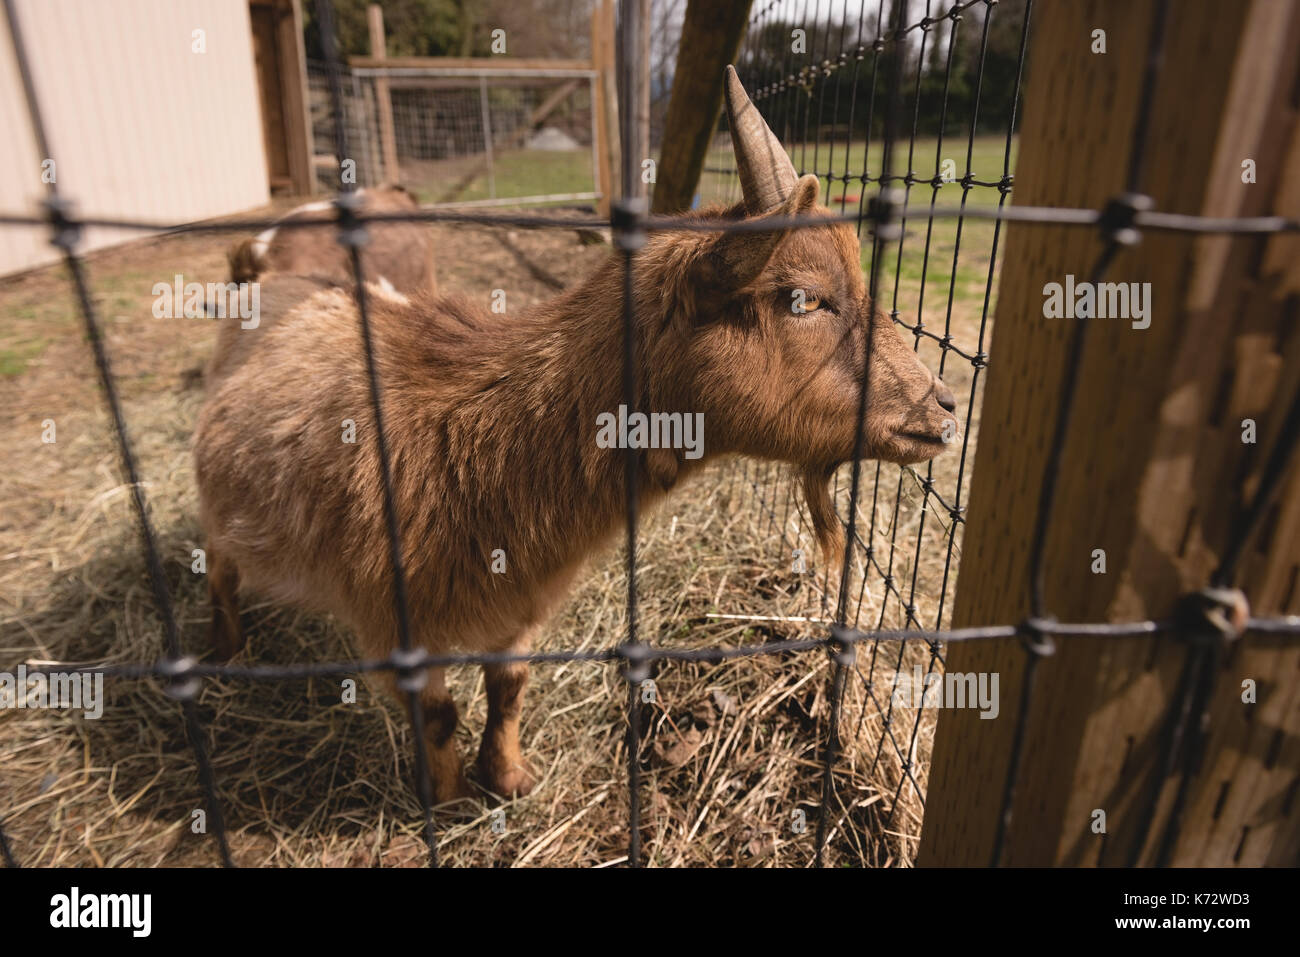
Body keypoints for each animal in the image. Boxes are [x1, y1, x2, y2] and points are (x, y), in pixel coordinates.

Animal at [193, 68, 957, 803]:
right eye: (804, 297)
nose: (944, 409)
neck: (475, 441)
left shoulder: (519, 603)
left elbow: (509, 687)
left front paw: (507, 779)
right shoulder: (394, 623)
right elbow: (438, 715)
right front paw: (445, 797)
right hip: (218, 506)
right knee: (220, 566)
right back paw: (224, 648)